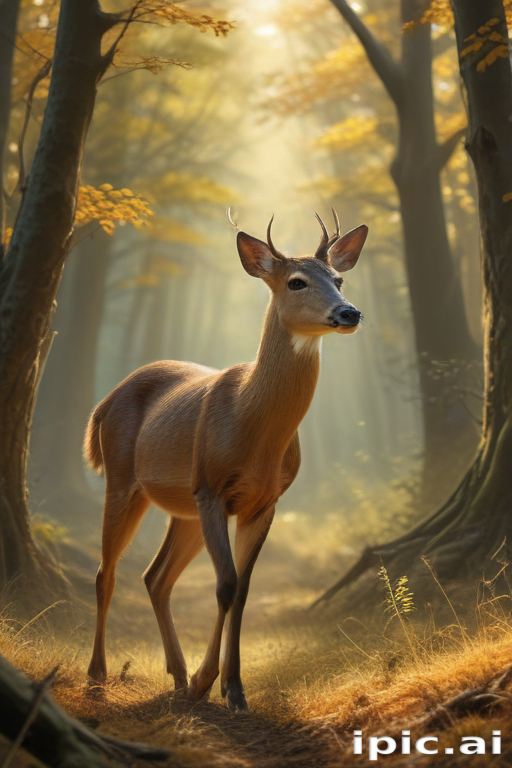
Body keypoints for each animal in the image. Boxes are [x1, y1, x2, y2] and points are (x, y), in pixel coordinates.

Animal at [84, 210, 368, 712]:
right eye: (296, 281)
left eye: (338, 278)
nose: (348, 312)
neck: (252, 426)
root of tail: (104, 402)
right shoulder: (212, 488)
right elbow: (226, 584)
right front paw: (208, 682)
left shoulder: (264, 501)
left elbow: (244, 589)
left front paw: (232, 688)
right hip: (123, 479)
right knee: (106, 573)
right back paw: (98, 675)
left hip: (183, 508)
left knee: (155, 576)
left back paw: (176, 676)